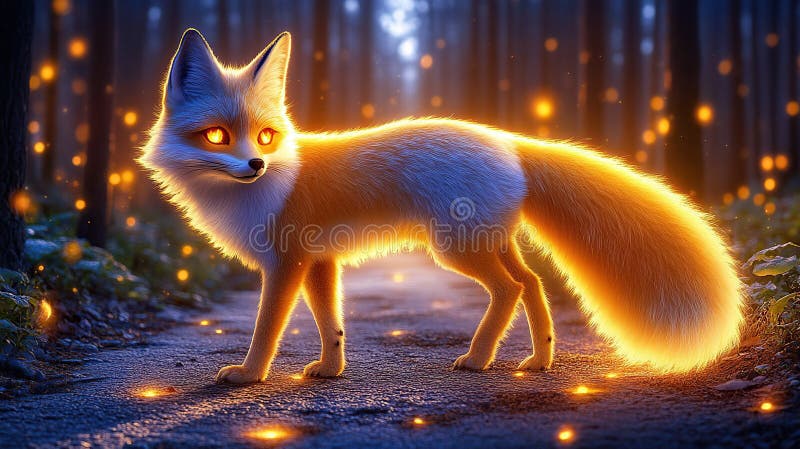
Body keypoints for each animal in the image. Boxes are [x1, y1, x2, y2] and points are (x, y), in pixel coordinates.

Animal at [139, 29, 743, 384]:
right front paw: (331, 370)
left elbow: (267, 327)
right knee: (534, 283)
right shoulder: (321, 262)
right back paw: (540, 359)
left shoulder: (287, 263)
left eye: (265, 135)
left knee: (511, 289)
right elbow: (332, 323)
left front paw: (248, 375)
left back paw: (478, 359)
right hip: (492, 240)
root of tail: (507, 140)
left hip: (455, 249)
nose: (256, 165)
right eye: (217, 135)